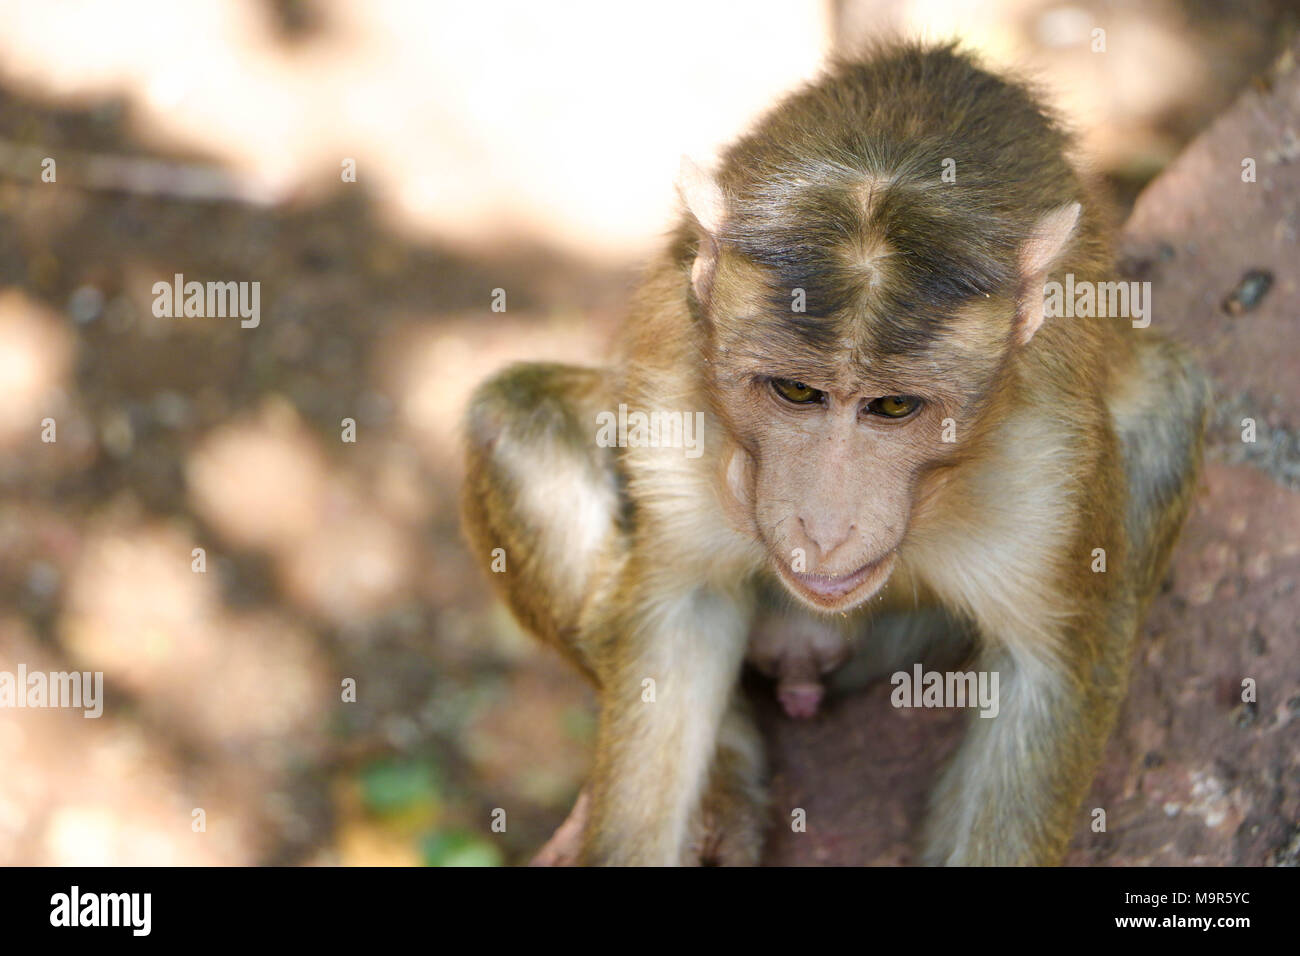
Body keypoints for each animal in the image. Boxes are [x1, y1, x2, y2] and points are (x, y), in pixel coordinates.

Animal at [460, 41, 1208, 866]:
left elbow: (1047, 676)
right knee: (511, 421)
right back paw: (727, 779)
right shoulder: (669, 404)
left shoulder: (1048, 466)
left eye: (893, 407)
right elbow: (677, 617)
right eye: (795, 391)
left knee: (1169, 407)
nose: (824, 531)